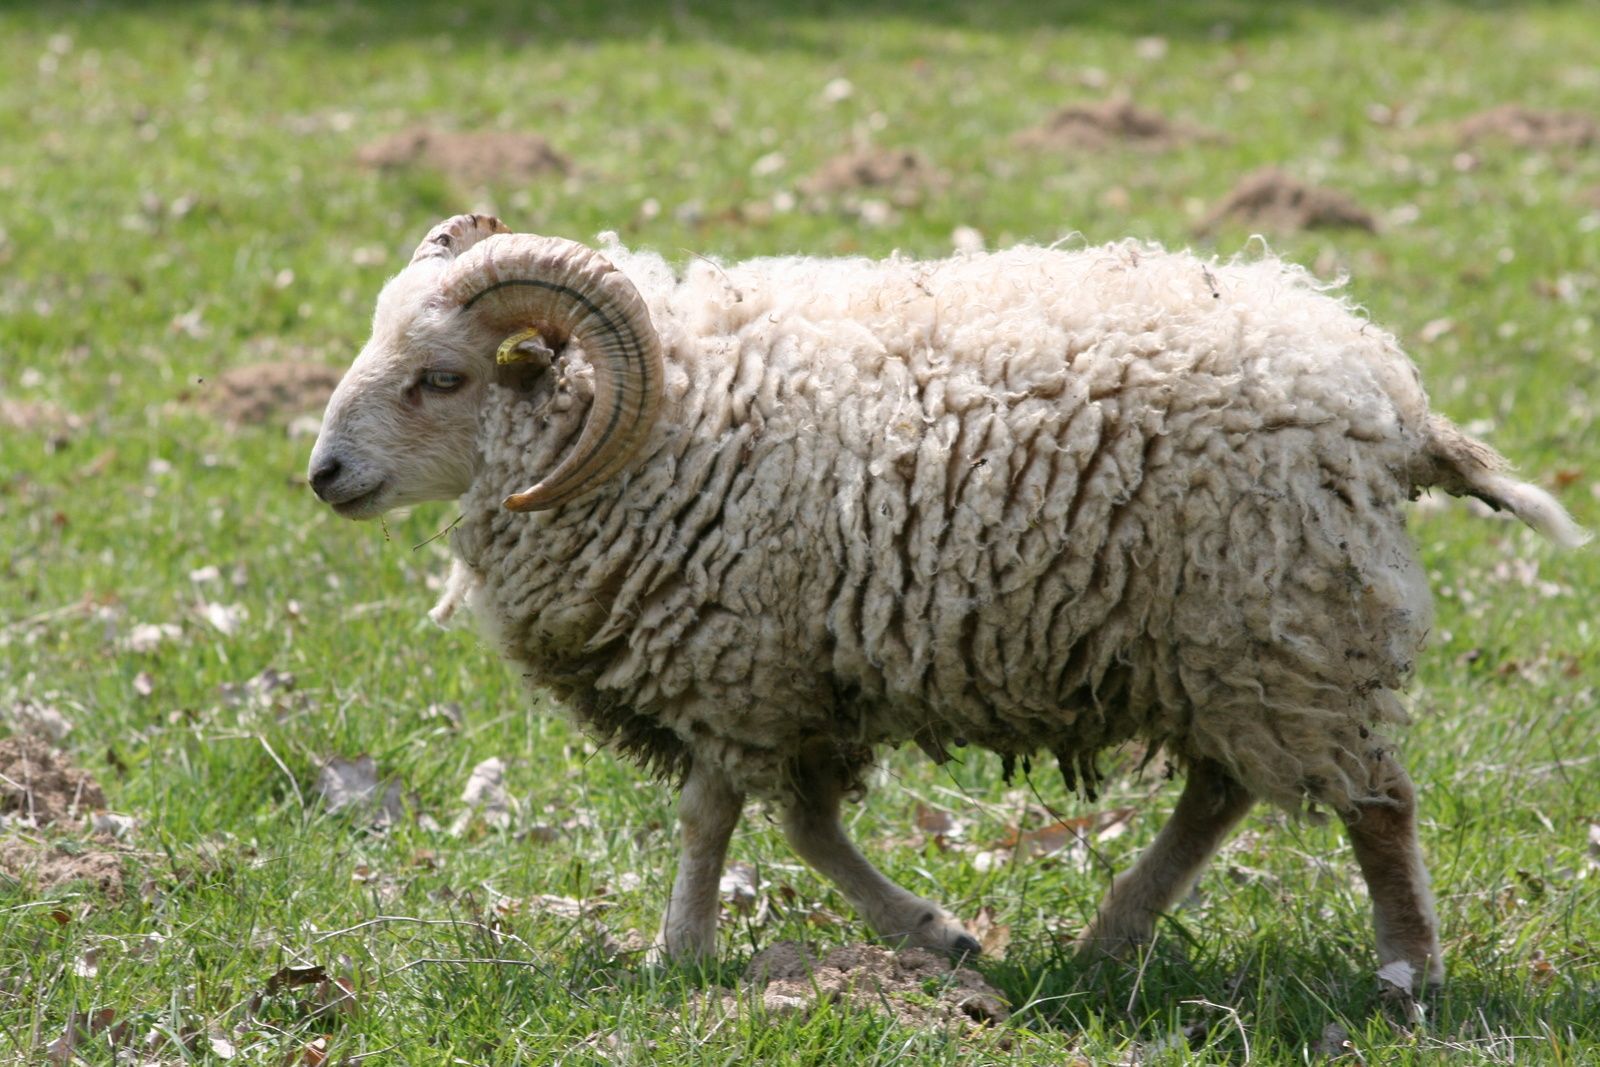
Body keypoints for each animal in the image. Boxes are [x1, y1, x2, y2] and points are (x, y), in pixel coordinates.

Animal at [308, 214, 1586, 992]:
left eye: (441, 377)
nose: (322, 474)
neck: (664, 418)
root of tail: (1385, 397)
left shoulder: (736, 657)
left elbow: (716, 818)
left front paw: (680, 951)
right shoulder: (797, 676)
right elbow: (804, 825)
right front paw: (934, 933)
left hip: (1285, 621)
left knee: (1376, 802)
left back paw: (1405, 971)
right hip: (1229, 643)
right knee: (1222, 792)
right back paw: (1112, 935)